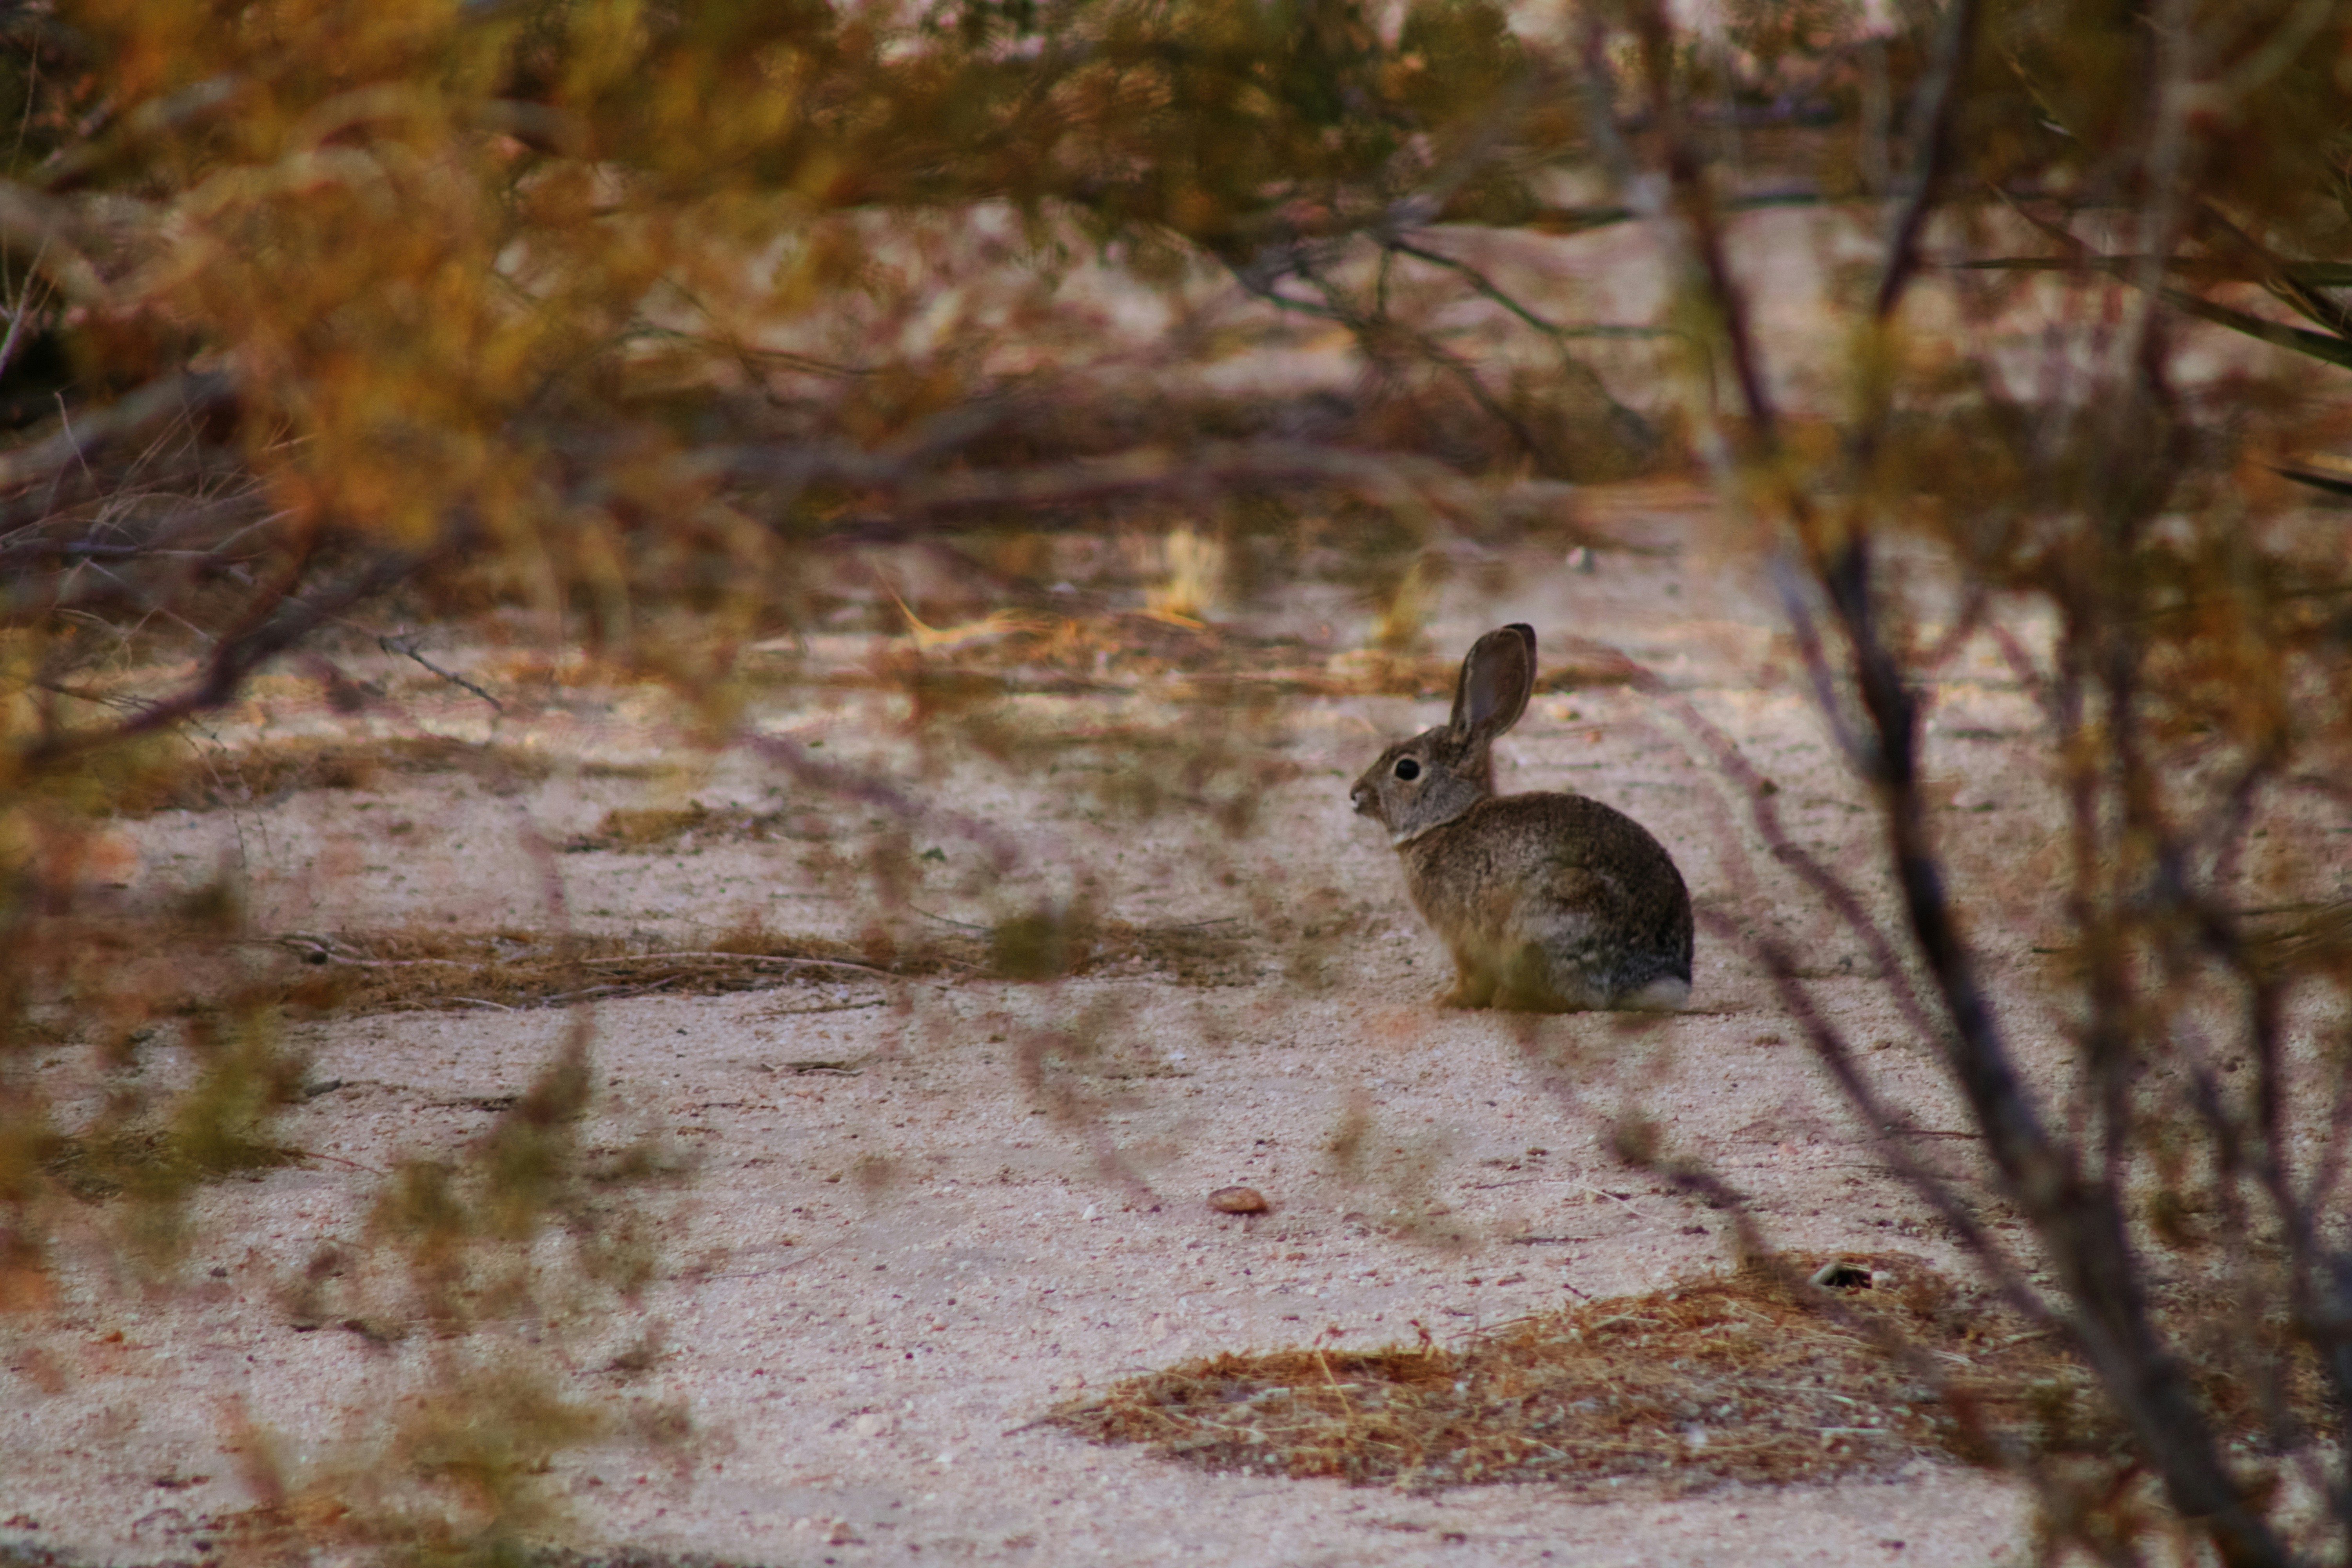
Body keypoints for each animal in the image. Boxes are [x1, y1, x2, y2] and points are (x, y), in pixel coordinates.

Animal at [1349, 623, 1693, 1012]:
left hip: (1554, 915)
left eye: (1406, 769)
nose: (1356, 795)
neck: (1448, 819)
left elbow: (1470, 977)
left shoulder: (1464, 936)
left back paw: (1509, 999)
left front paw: (1447, 1000)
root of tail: (1655, 980)